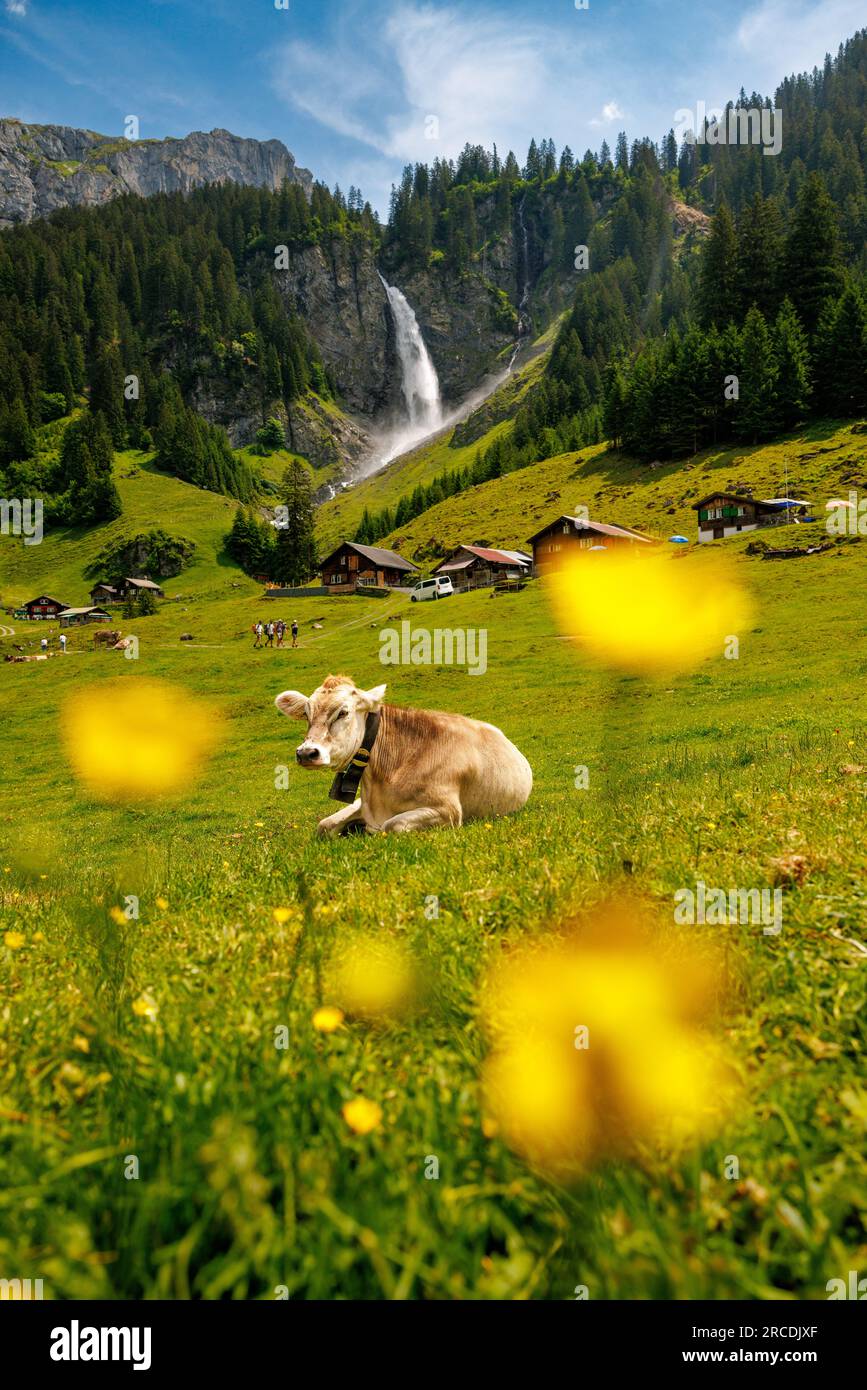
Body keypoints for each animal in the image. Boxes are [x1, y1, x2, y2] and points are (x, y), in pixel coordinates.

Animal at [274, 673, 533, 836]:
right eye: (306, 714)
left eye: (343, 712)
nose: (306, 753)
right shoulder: (362, 804)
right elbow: (324, 826)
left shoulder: (448, 811)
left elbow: (391, 825)